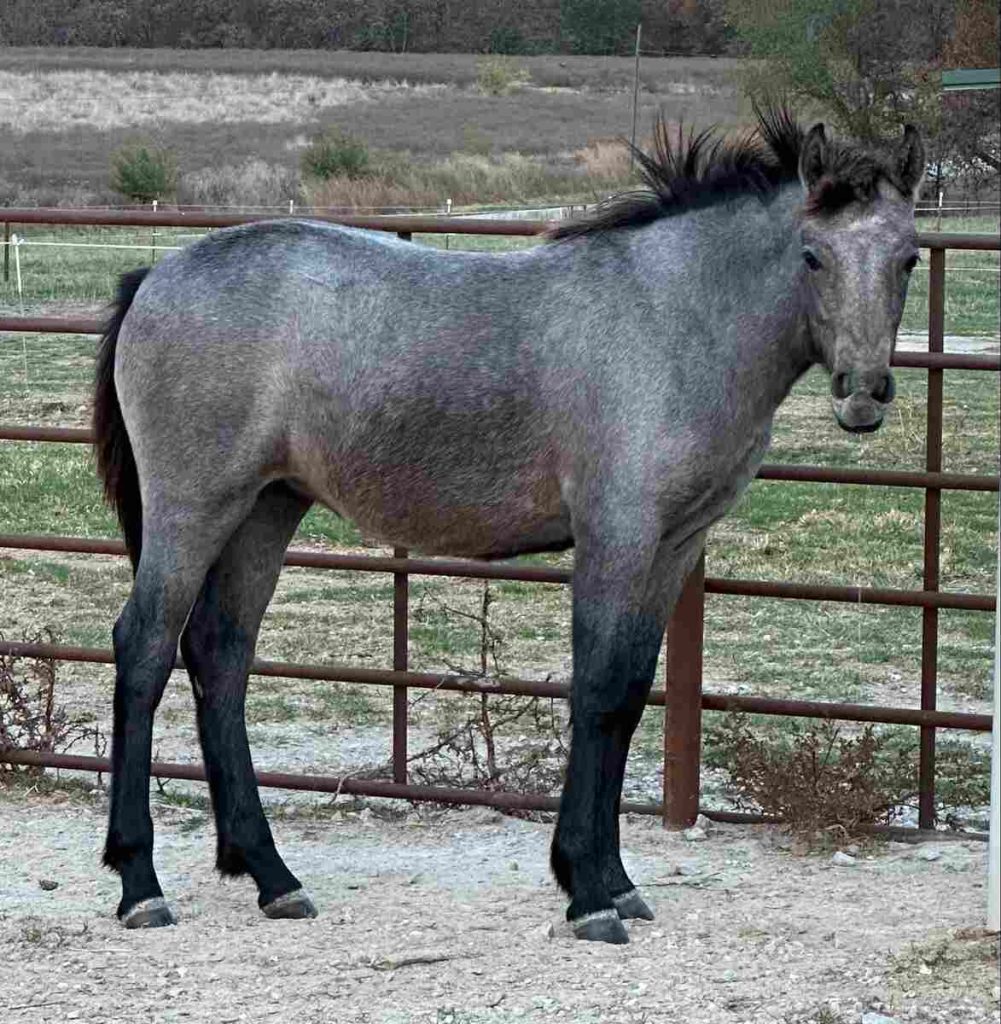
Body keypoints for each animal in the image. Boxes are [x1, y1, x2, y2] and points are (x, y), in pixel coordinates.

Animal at [93, 107, 923, 943]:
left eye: (908, 258)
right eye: (812, 255)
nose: (862, 392)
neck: (672, 318)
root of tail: (154, 277)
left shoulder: (673, 547)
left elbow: (629, 696)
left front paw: (614, 881)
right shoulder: (616, 537)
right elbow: (597, 693)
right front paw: (587, 893)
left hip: (265, 509)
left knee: (220, 655)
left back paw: (272, 876)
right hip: (193, 509)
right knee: (145, 649)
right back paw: (141, 885)